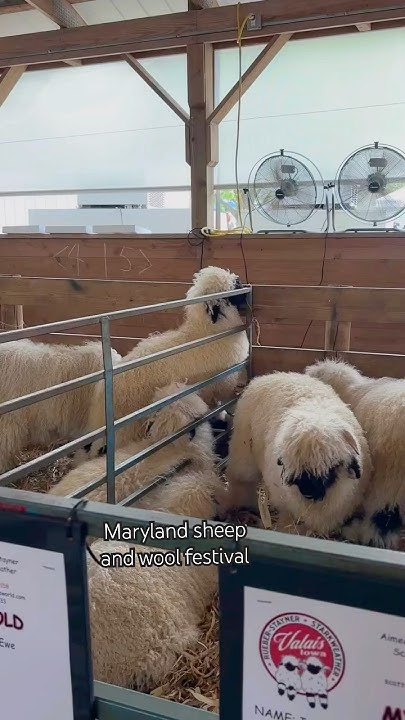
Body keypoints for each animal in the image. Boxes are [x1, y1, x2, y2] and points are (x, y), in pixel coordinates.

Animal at [223, 372, 372, 537]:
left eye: (332, 467)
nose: (309, 492)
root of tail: (267, 376)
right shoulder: (287, 509)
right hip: (243, 454)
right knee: (240, 480)